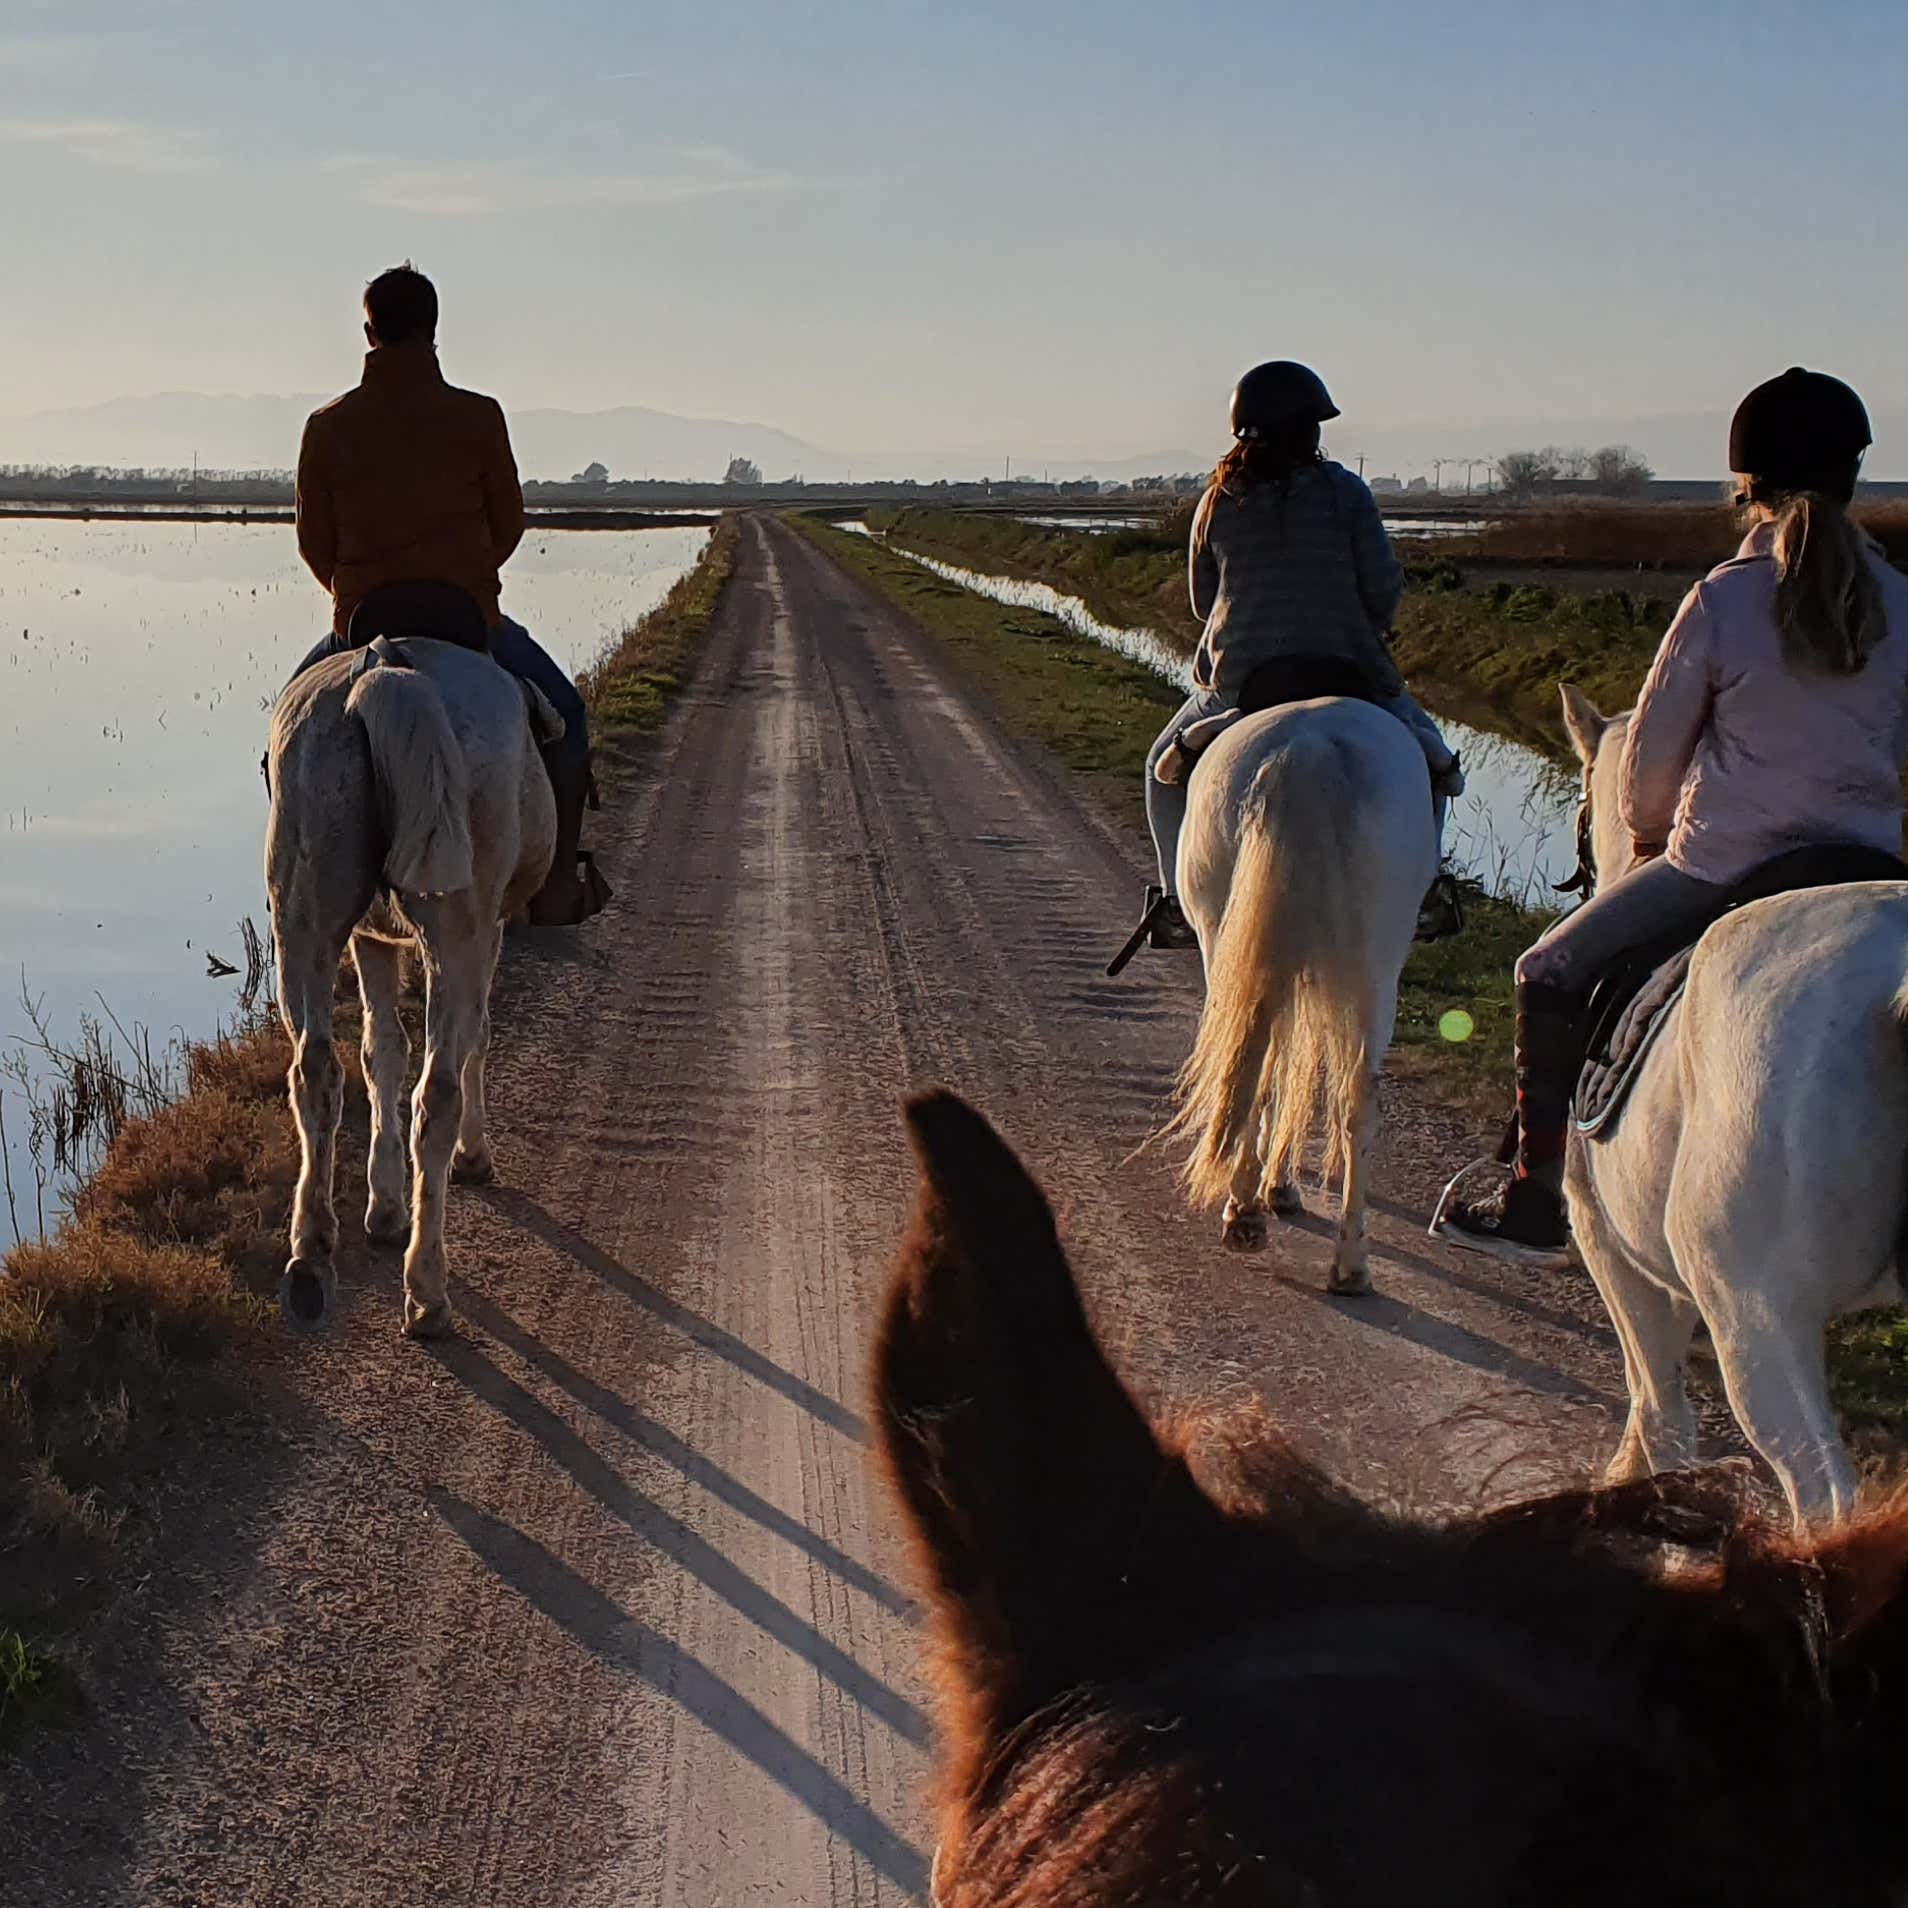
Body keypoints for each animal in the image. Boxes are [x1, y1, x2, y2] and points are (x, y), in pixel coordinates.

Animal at [266, 636, 560, 1337]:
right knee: (439, 1090)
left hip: (304, 916)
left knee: (315, 1072)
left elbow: (381, 1052)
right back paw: (427, 1291)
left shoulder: (368, 938)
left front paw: (384, 1207)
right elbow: (475, 1039)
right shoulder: (490, 929)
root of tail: (385, 666)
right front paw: (472, 1161)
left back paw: (311, 1256)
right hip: (458, 925)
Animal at [1167, 697, 1432, 1291]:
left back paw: (1244, 1213)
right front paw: (1280, 1182)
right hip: (1373, 969)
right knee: (1355, 1095)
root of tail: (1308, 748)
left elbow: (1283, 1061)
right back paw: (1350, 1262)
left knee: (1252, 1056)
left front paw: (1275, 1183)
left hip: (1228, 939)